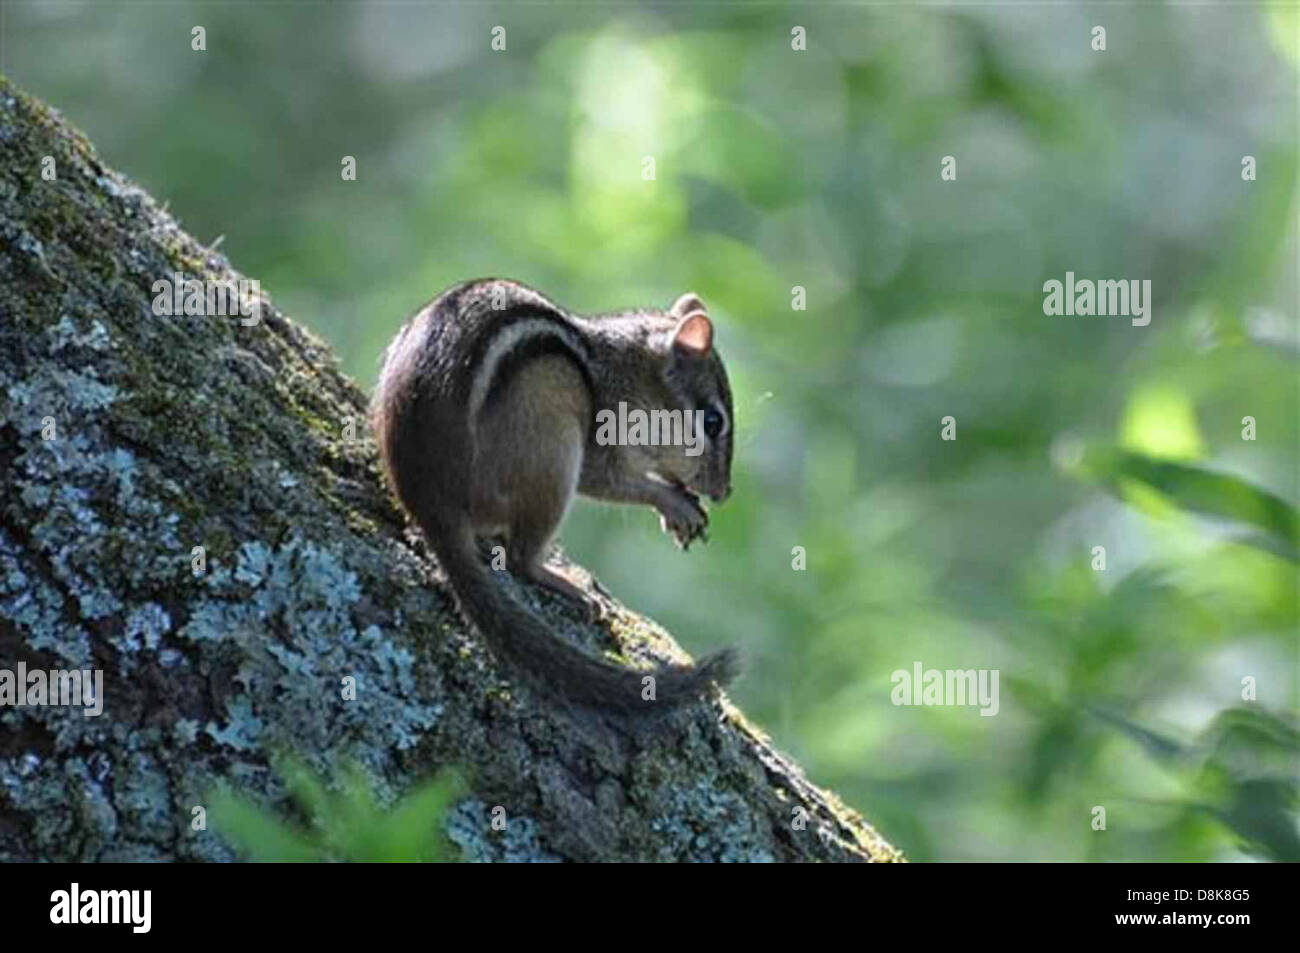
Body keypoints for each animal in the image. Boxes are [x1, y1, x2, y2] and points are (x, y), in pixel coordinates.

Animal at [371, 278, 740, 713]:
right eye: (713, 421)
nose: (724, 492)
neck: (627, 374)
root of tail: (431, 504)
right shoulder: (601, 442)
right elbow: (613, 483)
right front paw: (673, 503)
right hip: (552, 438)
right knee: (520, 559)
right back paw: (567, 584)